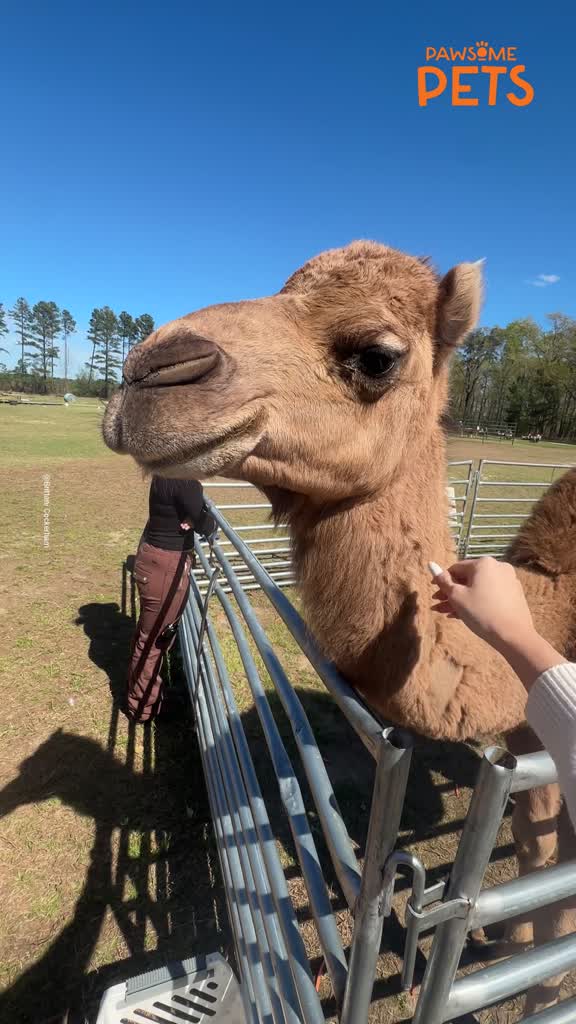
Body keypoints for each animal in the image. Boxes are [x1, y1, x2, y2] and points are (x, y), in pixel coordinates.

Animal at [103, 241, 576, 1014]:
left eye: (377, 356)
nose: (147, 373)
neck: (553, 603)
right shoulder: (532, 737)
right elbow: (538, 859)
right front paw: (508, 947)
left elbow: (558, 888)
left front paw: (538, 990)